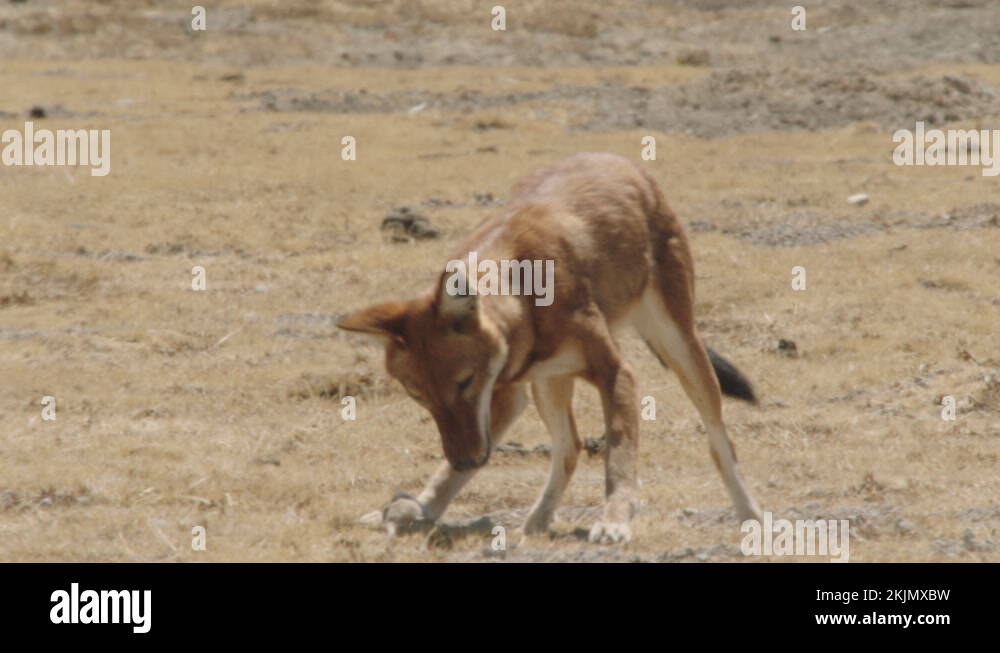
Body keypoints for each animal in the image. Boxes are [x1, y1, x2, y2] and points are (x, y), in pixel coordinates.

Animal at [338, 152, 763, 543]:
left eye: (464, 383)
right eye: (419, 397)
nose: (467, 457)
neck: (526, 293)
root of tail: (618, 159)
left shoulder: (616, 373)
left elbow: (619, 452)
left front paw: (615, 518)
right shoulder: (507, 393)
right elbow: (449, 474)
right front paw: (418, 508)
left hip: (682, 350)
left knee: (721, 442)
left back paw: (751, 516)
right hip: (548, 385)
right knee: (571, 447)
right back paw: (539, 519)